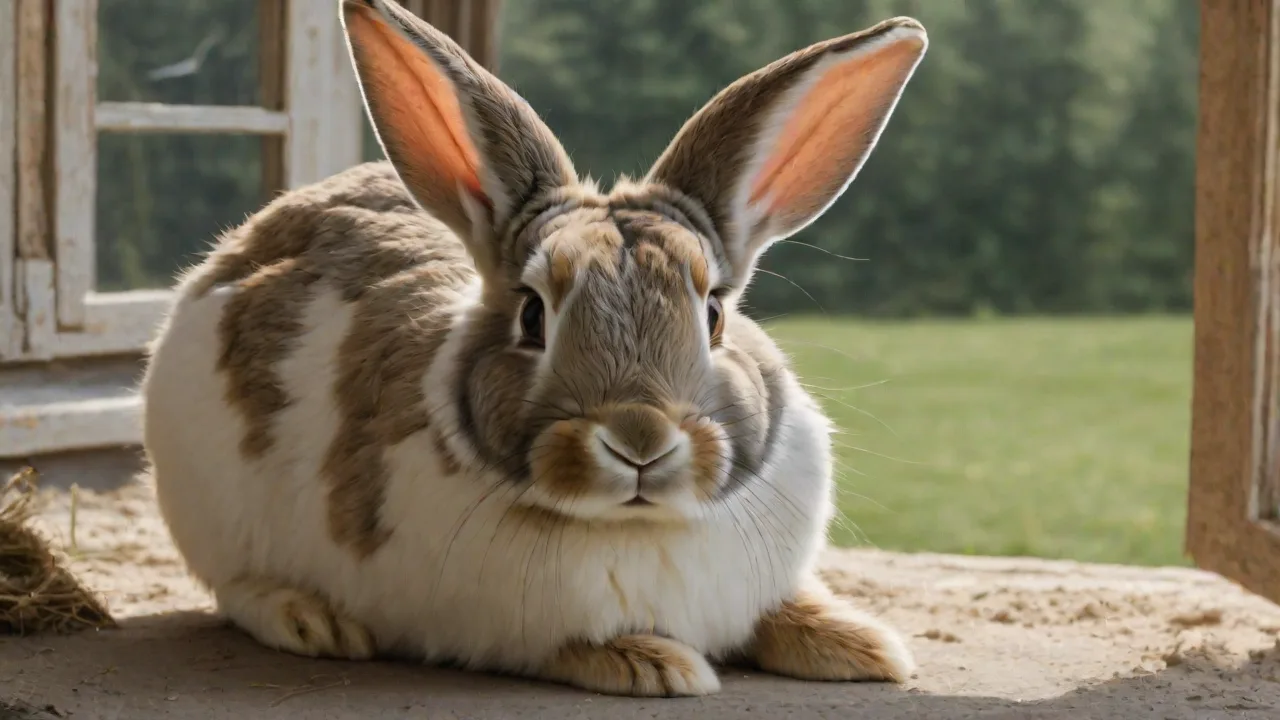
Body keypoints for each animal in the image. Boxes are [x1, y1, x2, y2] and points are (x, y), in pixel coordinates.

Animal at [140, 0, 928, 698]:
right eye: (532, 317)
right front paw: (657, 664)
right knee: (234, 588)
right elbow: (571, 645)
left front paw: (866, 647)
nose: (639, 440)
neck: (636, 526)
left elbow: (783, 611)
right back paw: (309, 620)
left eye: (713, 316)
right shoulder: (493, 624)